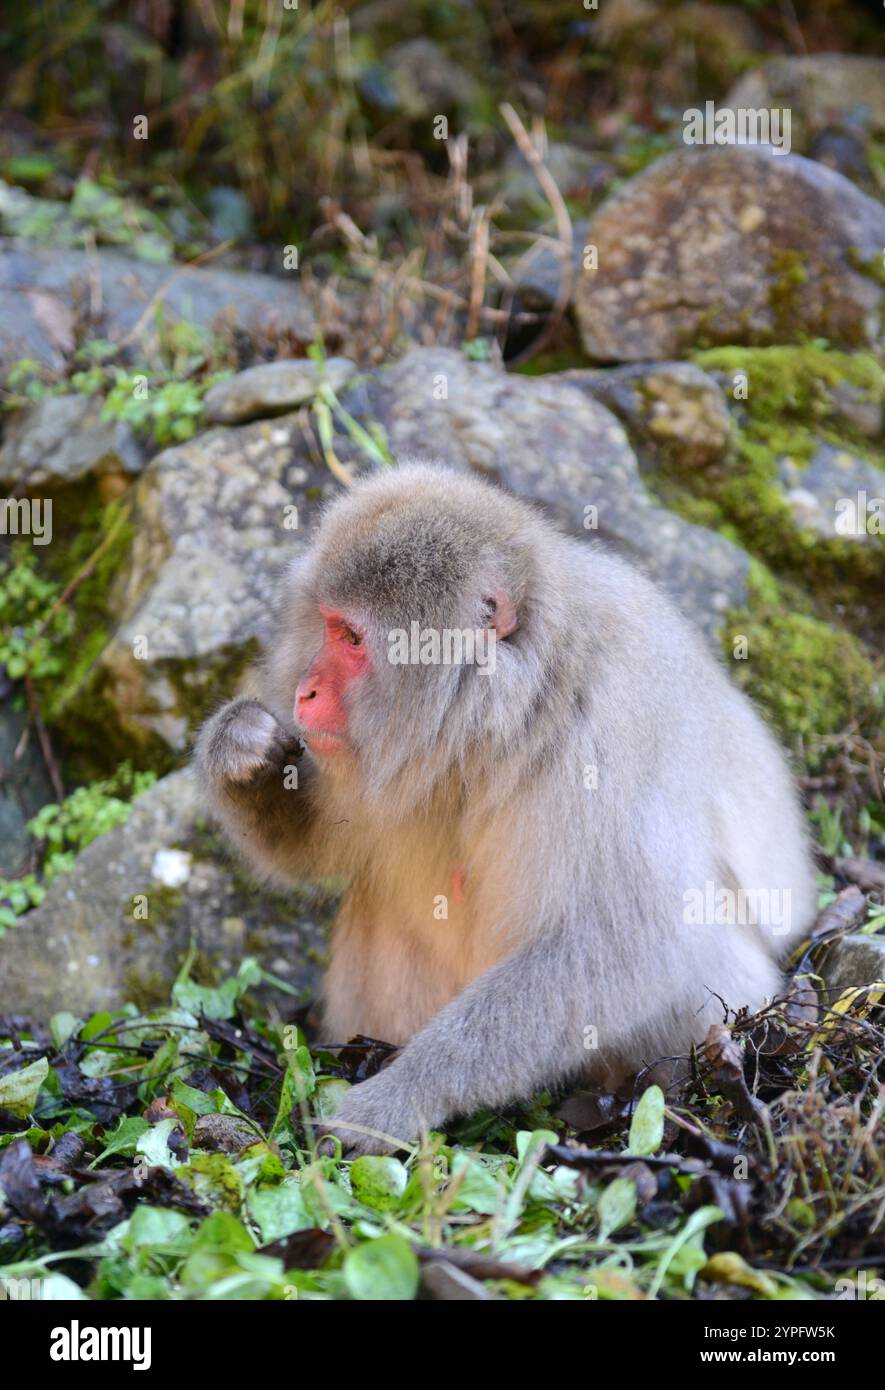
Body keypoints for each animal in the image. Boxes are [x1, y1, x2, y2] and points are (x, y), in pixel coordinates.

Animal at [194, 463, 817, 1155]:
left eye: (352, 639)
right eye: (328, 626)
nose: (304, 690)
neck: (507, 716)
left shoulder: (604, 738)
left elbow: (632, 939)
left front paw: (401, 1096)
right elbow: (320, 848)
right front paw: (240, 748)